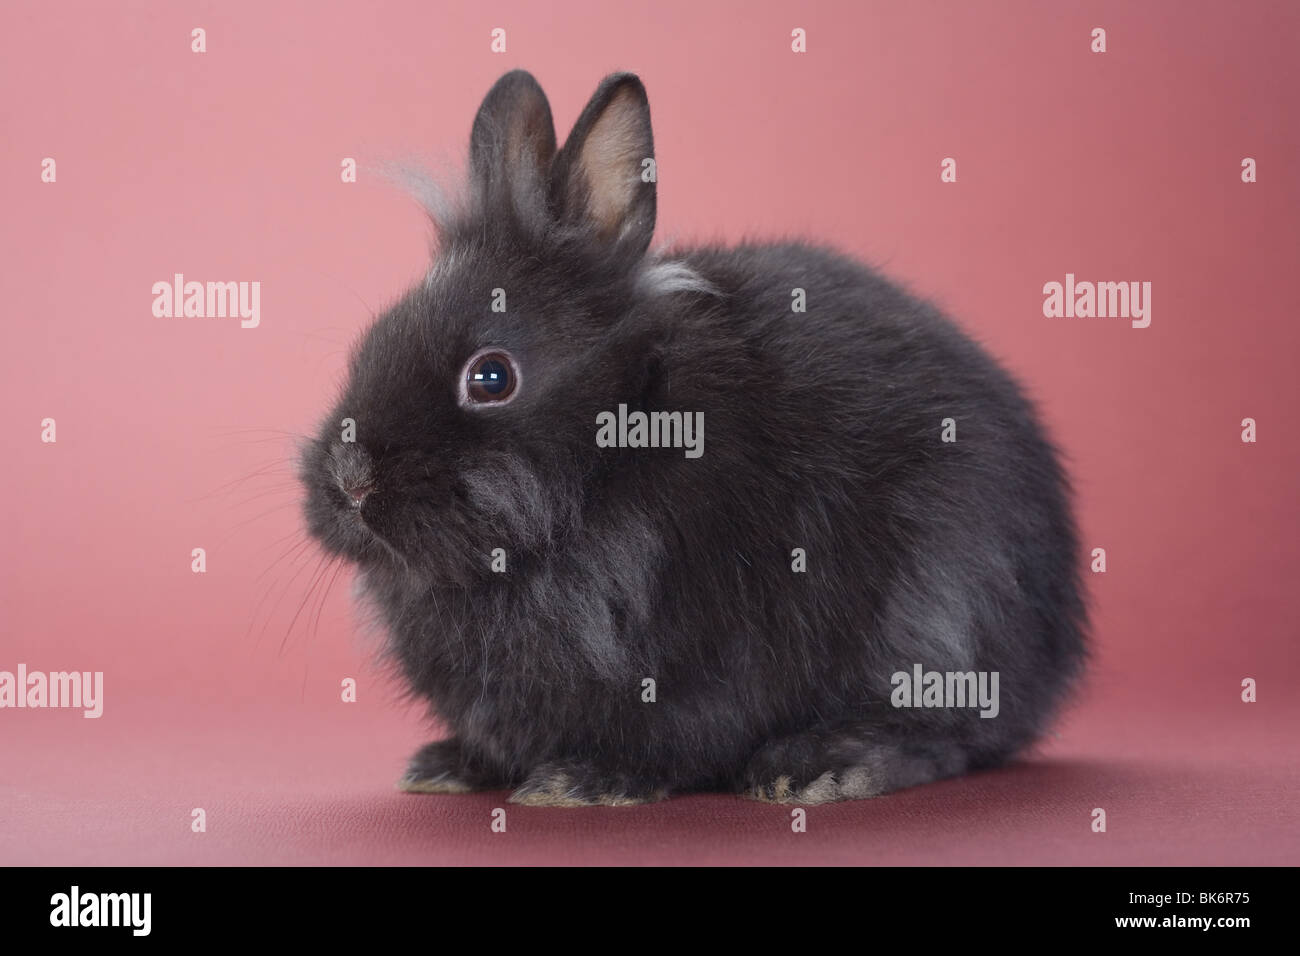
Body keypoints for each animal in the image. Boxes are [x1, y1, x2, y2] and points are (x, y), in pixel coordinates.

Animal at [299, 70, 1088, 806]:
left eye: (491, 378)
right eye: (373, 339)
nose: (350, 479)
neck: (608, 458)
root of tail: (1057, 649)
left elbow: (679, 730)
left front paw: (583, 782)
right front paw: (448, 766)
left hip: (942, 602)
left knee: (948, 734)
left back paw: (820, 768)